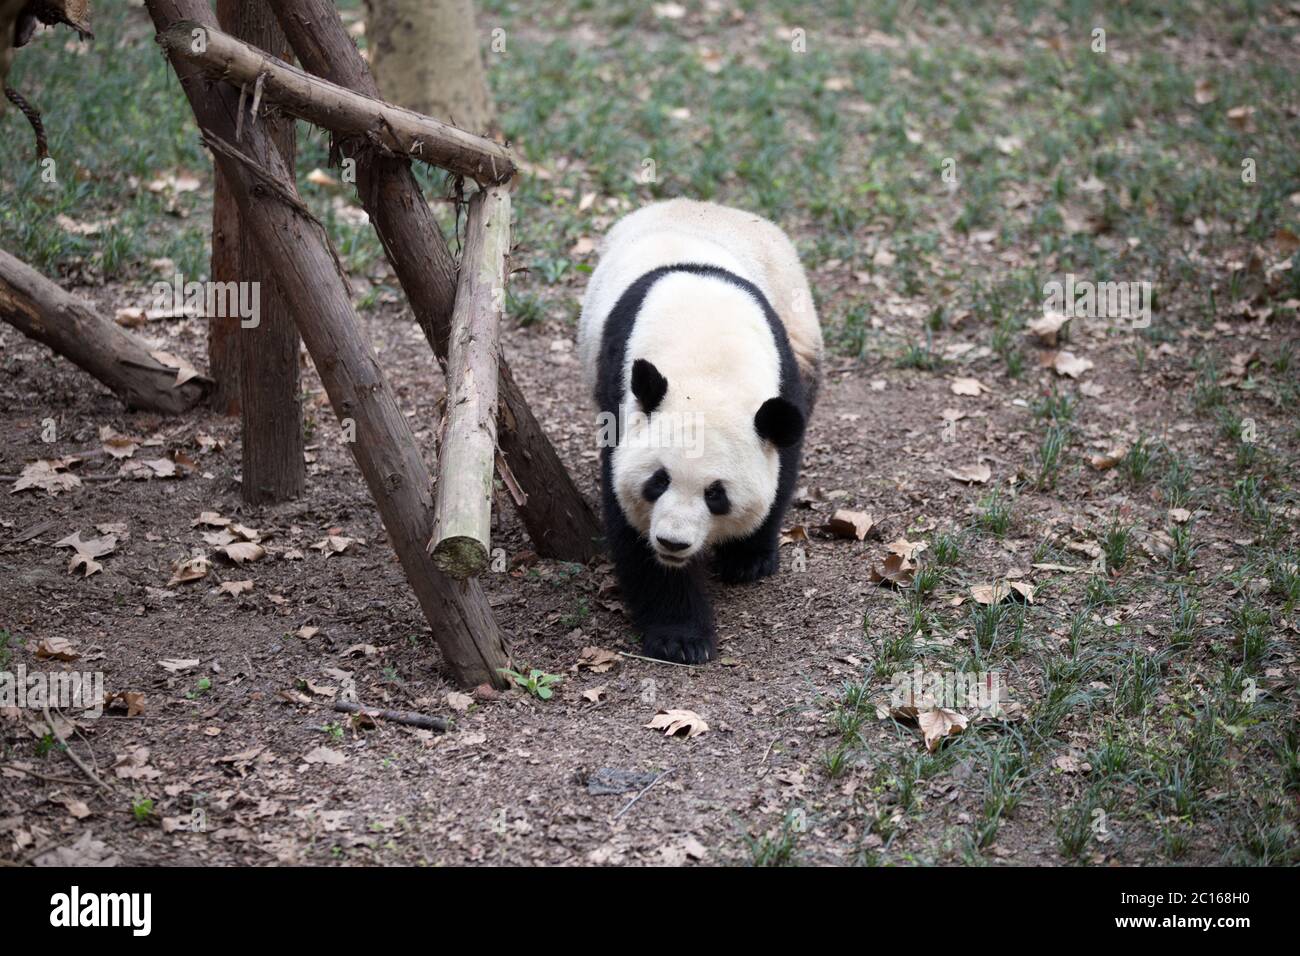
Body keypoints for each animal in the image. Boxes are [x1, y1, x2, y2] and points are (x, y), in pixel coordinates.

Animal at [578, 199, 823, 664]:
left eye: (716, 495)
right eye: (658, 481)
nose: (673, 542)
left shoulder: (782, 381)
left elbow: (782, 467)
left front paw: (747, 559)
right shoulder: (624, 402)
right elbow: (629, 522)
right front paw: (681, 638)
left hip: (799, 319)